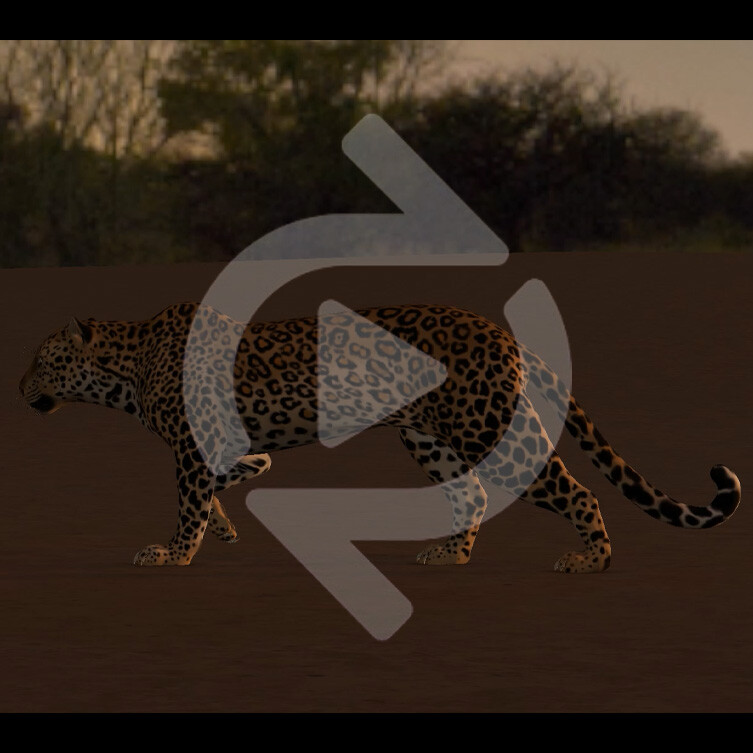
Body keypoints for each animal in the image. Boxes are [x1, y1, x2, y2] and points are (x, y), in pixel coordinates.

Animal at [19, 302, 741, 571]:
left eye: (43, 360)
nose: (19, 387)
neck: (127, 367)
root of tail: (500, 333)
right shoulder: (218, 445)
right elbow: (233, 479)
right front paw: (222, 527)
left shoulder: (194, 448)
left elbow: (189, 501)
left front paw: (173, 553)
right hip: (429, 437)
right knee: (474, 495)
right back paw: (449, 554)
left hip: (487, 428)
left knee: (574, 488)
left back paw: (590, 559)